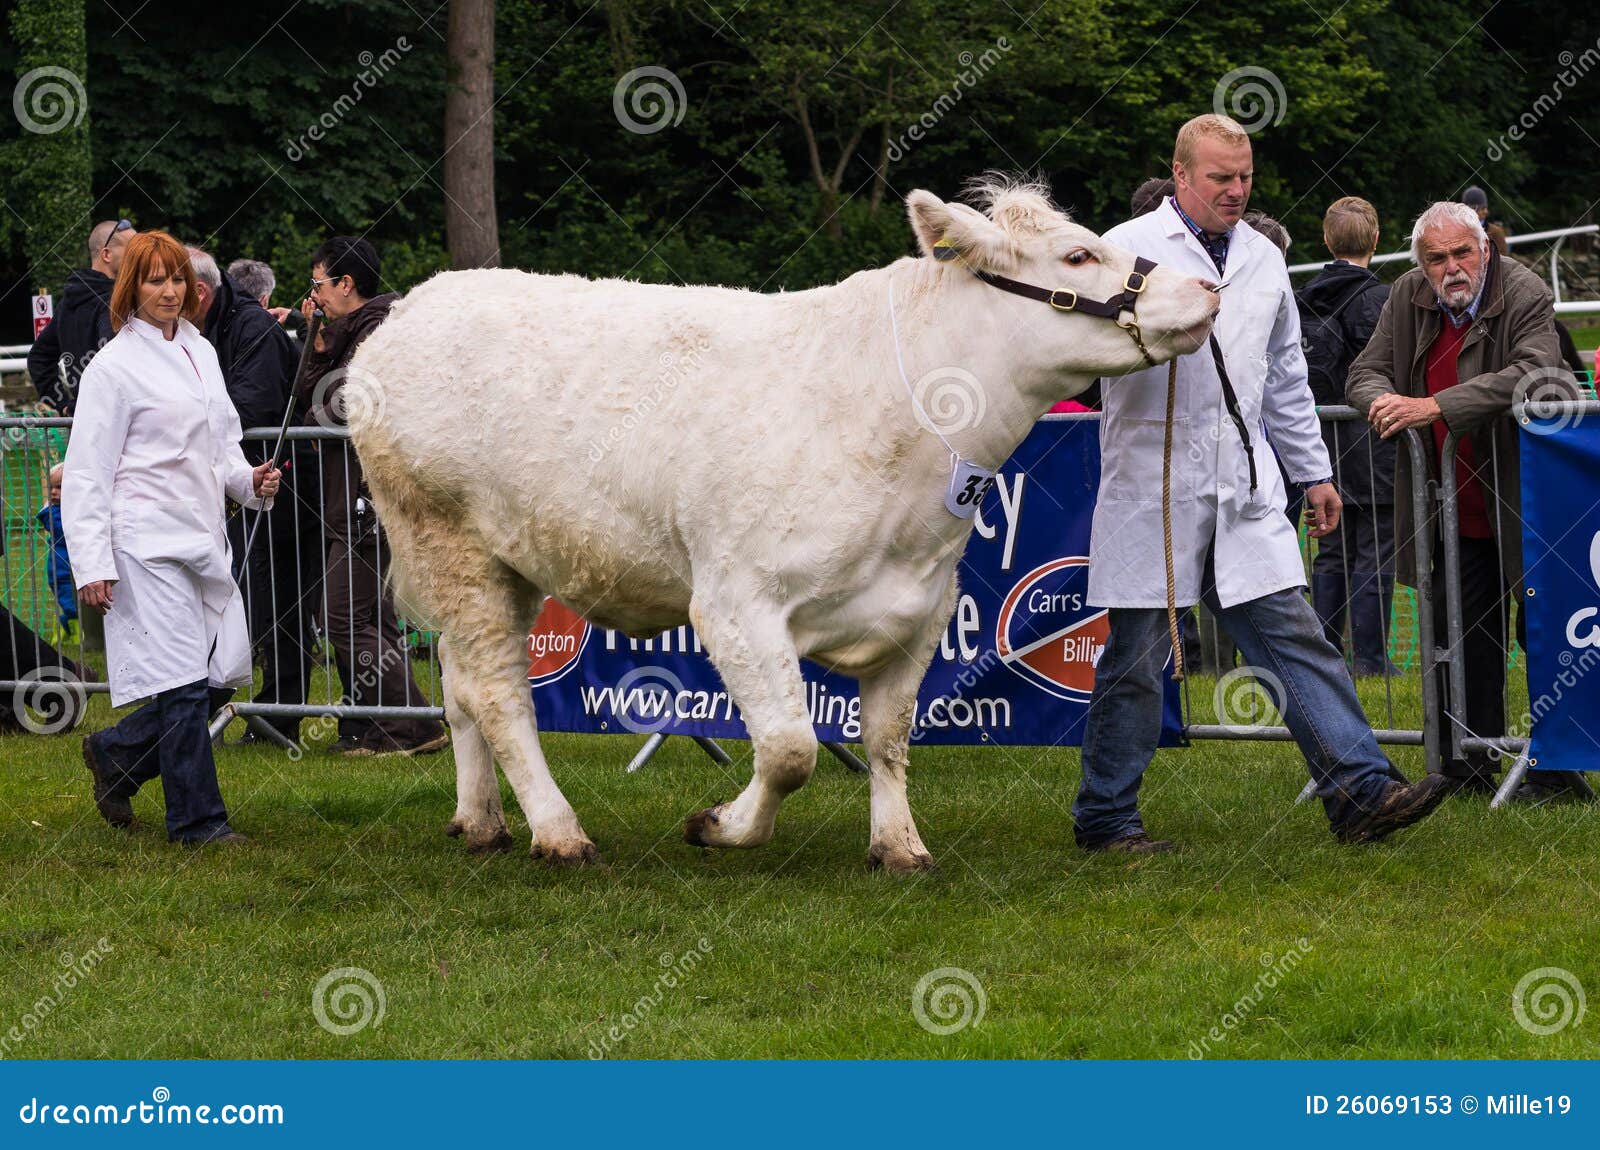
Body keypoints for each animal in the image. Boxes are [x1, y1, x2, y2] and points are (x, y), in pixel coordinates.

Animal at [346, 176, 1219, 872]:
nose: (1208, 290)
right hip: (449, 540)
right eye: (1076, 257)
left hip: (508, 558)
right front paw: (722, 826)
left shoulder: (920, 608)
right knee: (497, 694)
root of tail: (419, 306)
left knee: (459, 684)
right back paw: (558, 832)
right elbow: (792, 748)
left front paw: (899, 845)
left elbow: (887, 739)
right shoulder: (737, 603)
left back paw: (482, 820)